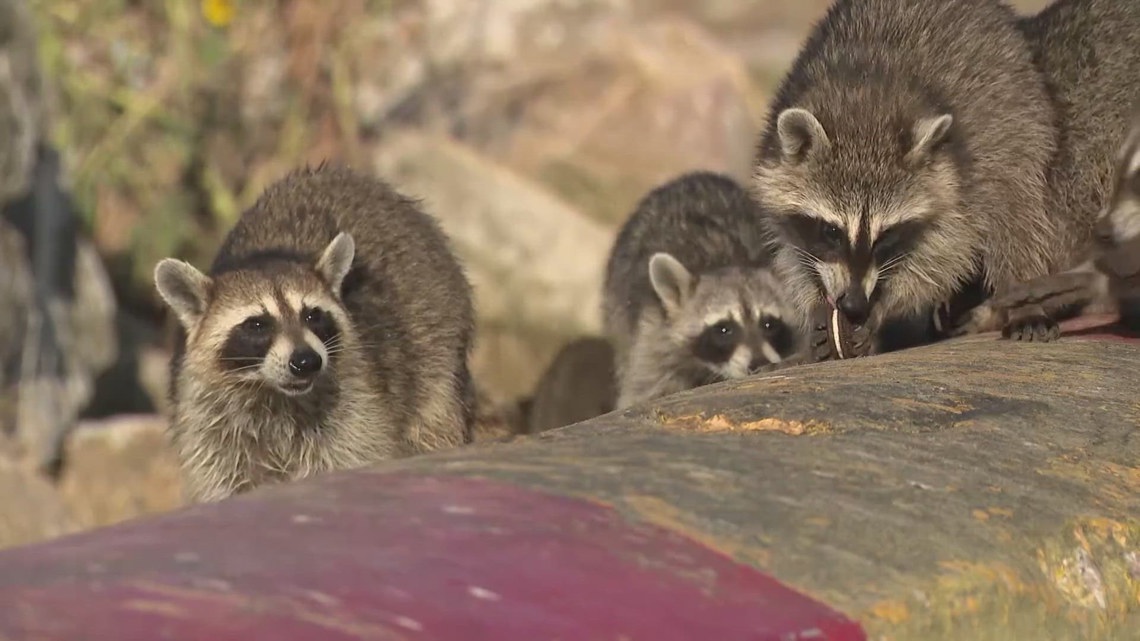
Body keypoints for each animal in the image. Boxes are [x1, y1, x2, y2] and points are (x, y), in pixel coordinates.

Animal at [154, 164, 475, 502]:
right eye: (257, 325)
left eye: (312, 316)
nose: (306, 361)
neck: (272, 395)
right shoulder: (209, 425)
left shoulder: (356, 407)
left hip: (438, 349)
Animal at [602, 171, 804, 410]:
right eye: (723, 329)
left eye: (769, 324)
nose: (759, 362)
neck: (727, 262)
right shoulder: (651, 332)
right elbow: (644, 386)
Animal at [751, 0, 1061, 354]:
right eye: (832, 232)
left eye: (886, 235)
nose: (855, 304)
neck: (861, 106)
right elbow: (789, 247)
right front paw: (813, 297)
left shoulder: (954, 178)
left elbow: (949, 254)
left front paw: (887, 305)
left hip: (1019, 121)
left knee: (1014, 210)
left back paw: (1023, 297)